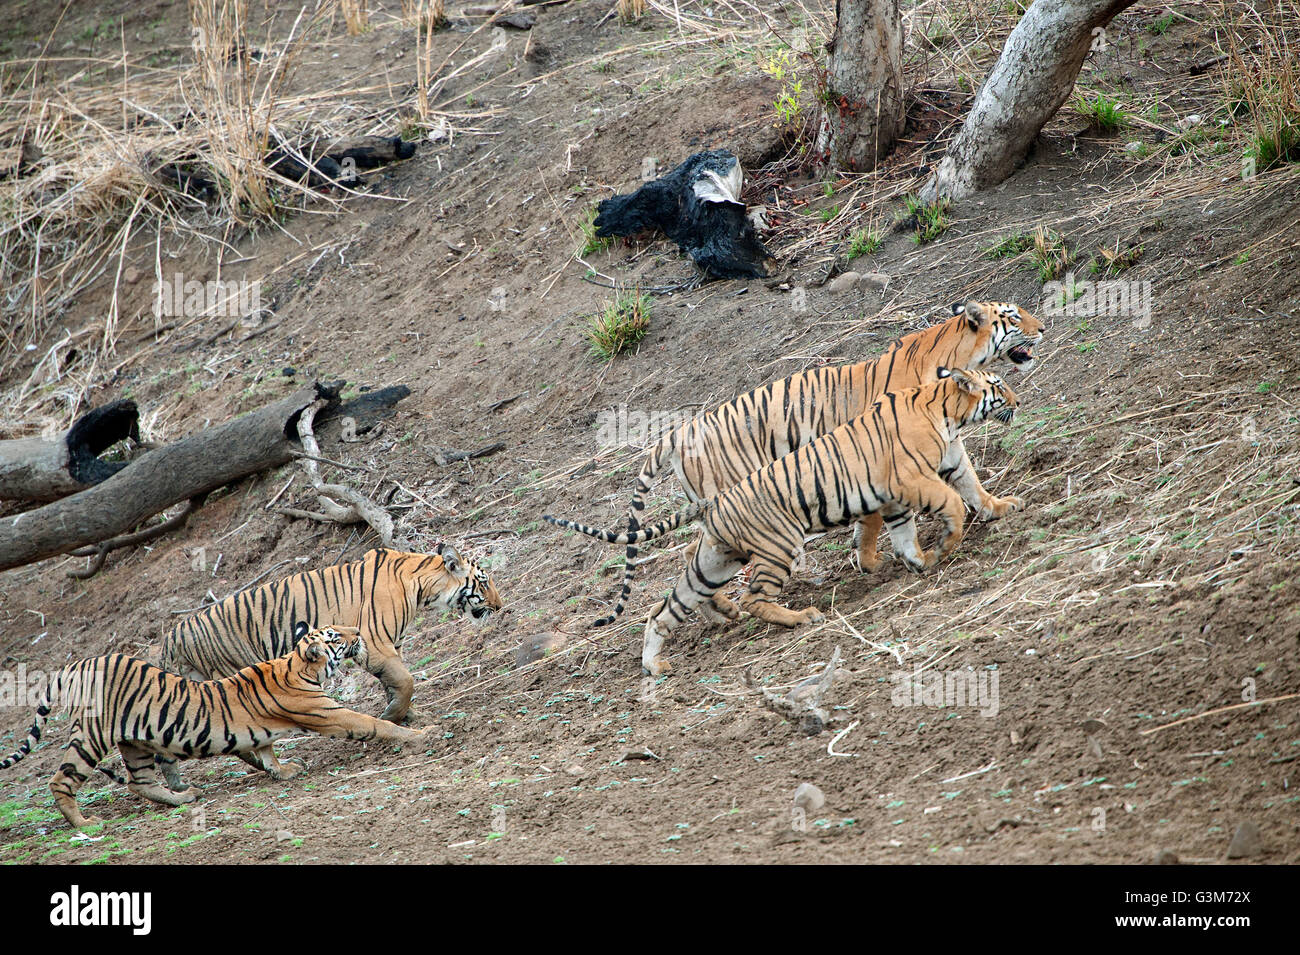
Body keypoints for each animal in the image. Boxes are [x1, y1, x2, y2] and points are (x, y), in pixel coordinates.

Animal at [0, 626, 429, 829]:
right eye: (336, 635)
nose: (359, 632)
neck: (298, 665)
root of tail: (74, 664)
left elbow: (266, 751)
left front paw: (284, 771)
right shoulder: (328, 713)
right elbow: (371, 722)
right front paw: (418, 735)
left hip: (134, 741)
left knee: (140, 781)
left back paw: (184, 798)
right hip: (92, 735)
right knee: (61, 779)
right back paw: (84, 823)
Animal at [158, 544, 501, 723]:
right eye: (484, 582)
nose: (499, 606)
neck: (421, 586)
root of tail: (172, 634)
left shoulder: (392, 647)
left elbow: (396, 684)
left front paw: (407, 715)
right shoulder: (376, 644)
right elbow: (406, 681)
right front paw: (394, 716)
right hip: (229, 671)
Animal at [547, 300, 1042, 626]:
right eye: (1014, 316)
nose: (1042, 327)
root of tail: (675, 432)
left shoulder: (944, 449)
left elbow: (970, 484)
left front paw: (999, 508)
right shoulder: (882, 459)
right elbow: (877, 518)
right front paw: (871, 559)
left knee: (696, 560)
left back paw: (718, 612)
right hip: (738, 498)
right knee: (699, 558)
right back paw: (728, 609)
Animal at [550, 367, 1020, 675]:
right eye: (998, 385)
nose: (1017, 402)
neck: (947, 411)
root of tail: (714, 502)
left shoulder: (934, 471)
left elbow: (964, 493)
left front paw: (991, 513)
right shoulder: (912, 478)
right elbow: (952, 505)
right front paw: (942, 548)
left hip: (714, 562)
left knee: (666, 608)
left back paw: (656, 664)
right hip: (777, 547)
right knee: (754, 598)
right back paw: (802, 618)